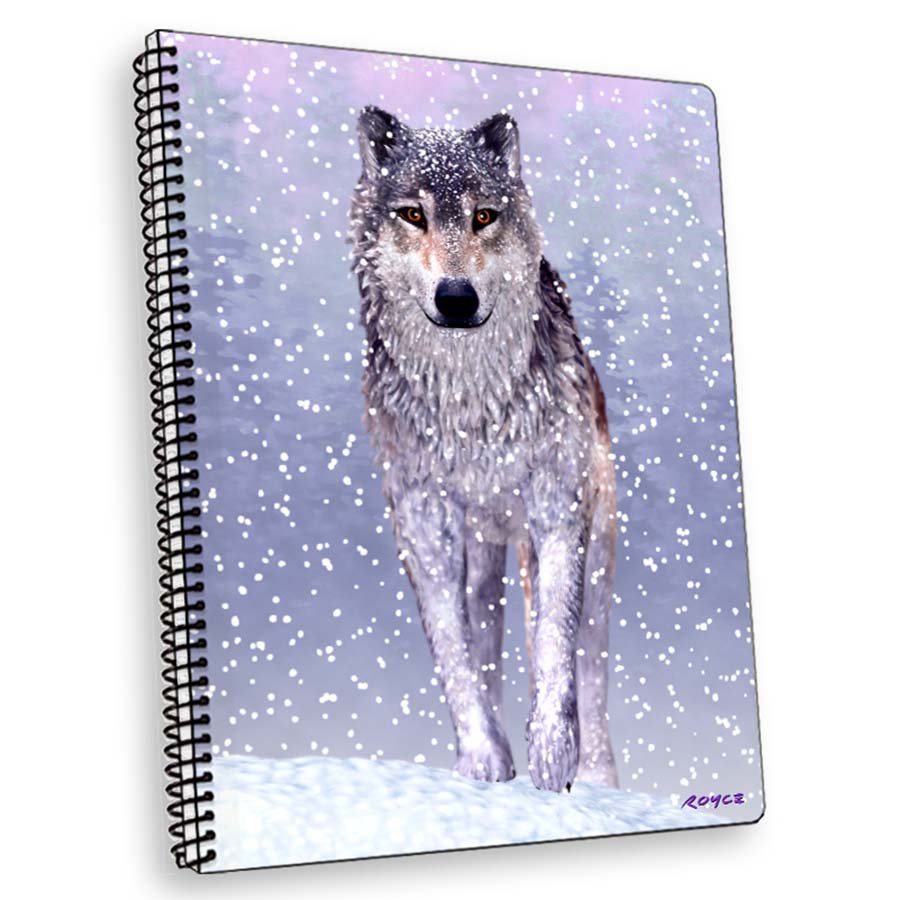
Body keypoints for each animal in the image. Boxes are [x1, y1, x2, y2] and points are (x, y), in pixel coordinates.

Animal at [349, 106, 618, 792]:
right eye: (412, 214)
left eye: (483, 216)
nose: (456, 297)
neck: (470, 403)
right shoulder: (422, 520)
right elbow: (453, 650)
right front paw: (482, 759)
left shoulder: (556, 506)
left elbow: (554, 647)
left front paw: (553, 756)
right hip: (482, 561)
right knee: (487, 648)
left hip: (593, 544)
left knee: (590, 661)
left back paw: (599, 775)